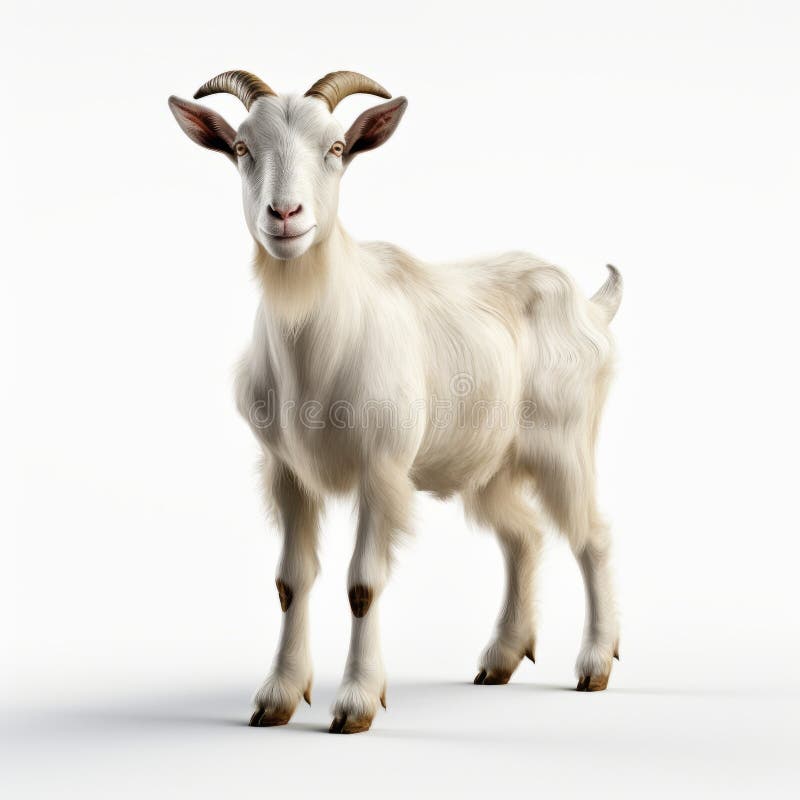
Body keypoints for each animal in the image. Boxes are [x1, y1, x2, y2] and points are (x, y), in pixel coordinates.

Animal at [169, 70, 623, 734]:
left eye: (335, 149)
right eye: (242, 148)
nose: (285, 214)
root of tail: (591, 307)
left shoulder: (381, 467)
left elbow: (363, 584)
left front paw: (356, 702)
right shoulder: (285, 471)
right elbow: (290, 581)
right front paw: (277, 696)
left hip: (565, 442)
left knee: (591, 536)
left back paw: (594, 664)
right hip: (488, 464)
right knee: (523, 535)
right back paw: (500, 659)